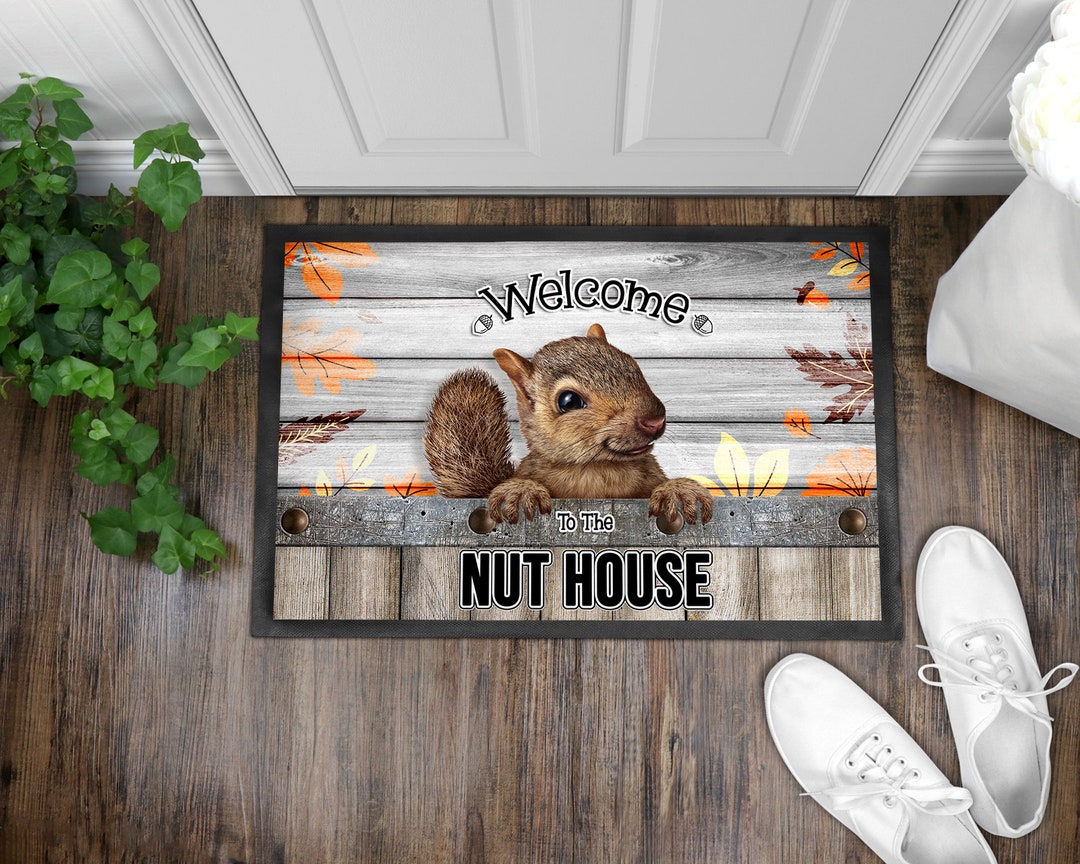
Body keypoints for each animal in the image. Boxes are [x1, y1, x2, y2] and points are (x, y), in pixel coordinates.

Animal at [423, 323, 714, 527]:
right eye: (568, 401)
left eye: (634, 366)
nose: (654, 420)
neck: (597, 471)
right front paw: (521, 491)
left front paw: (678, 491)